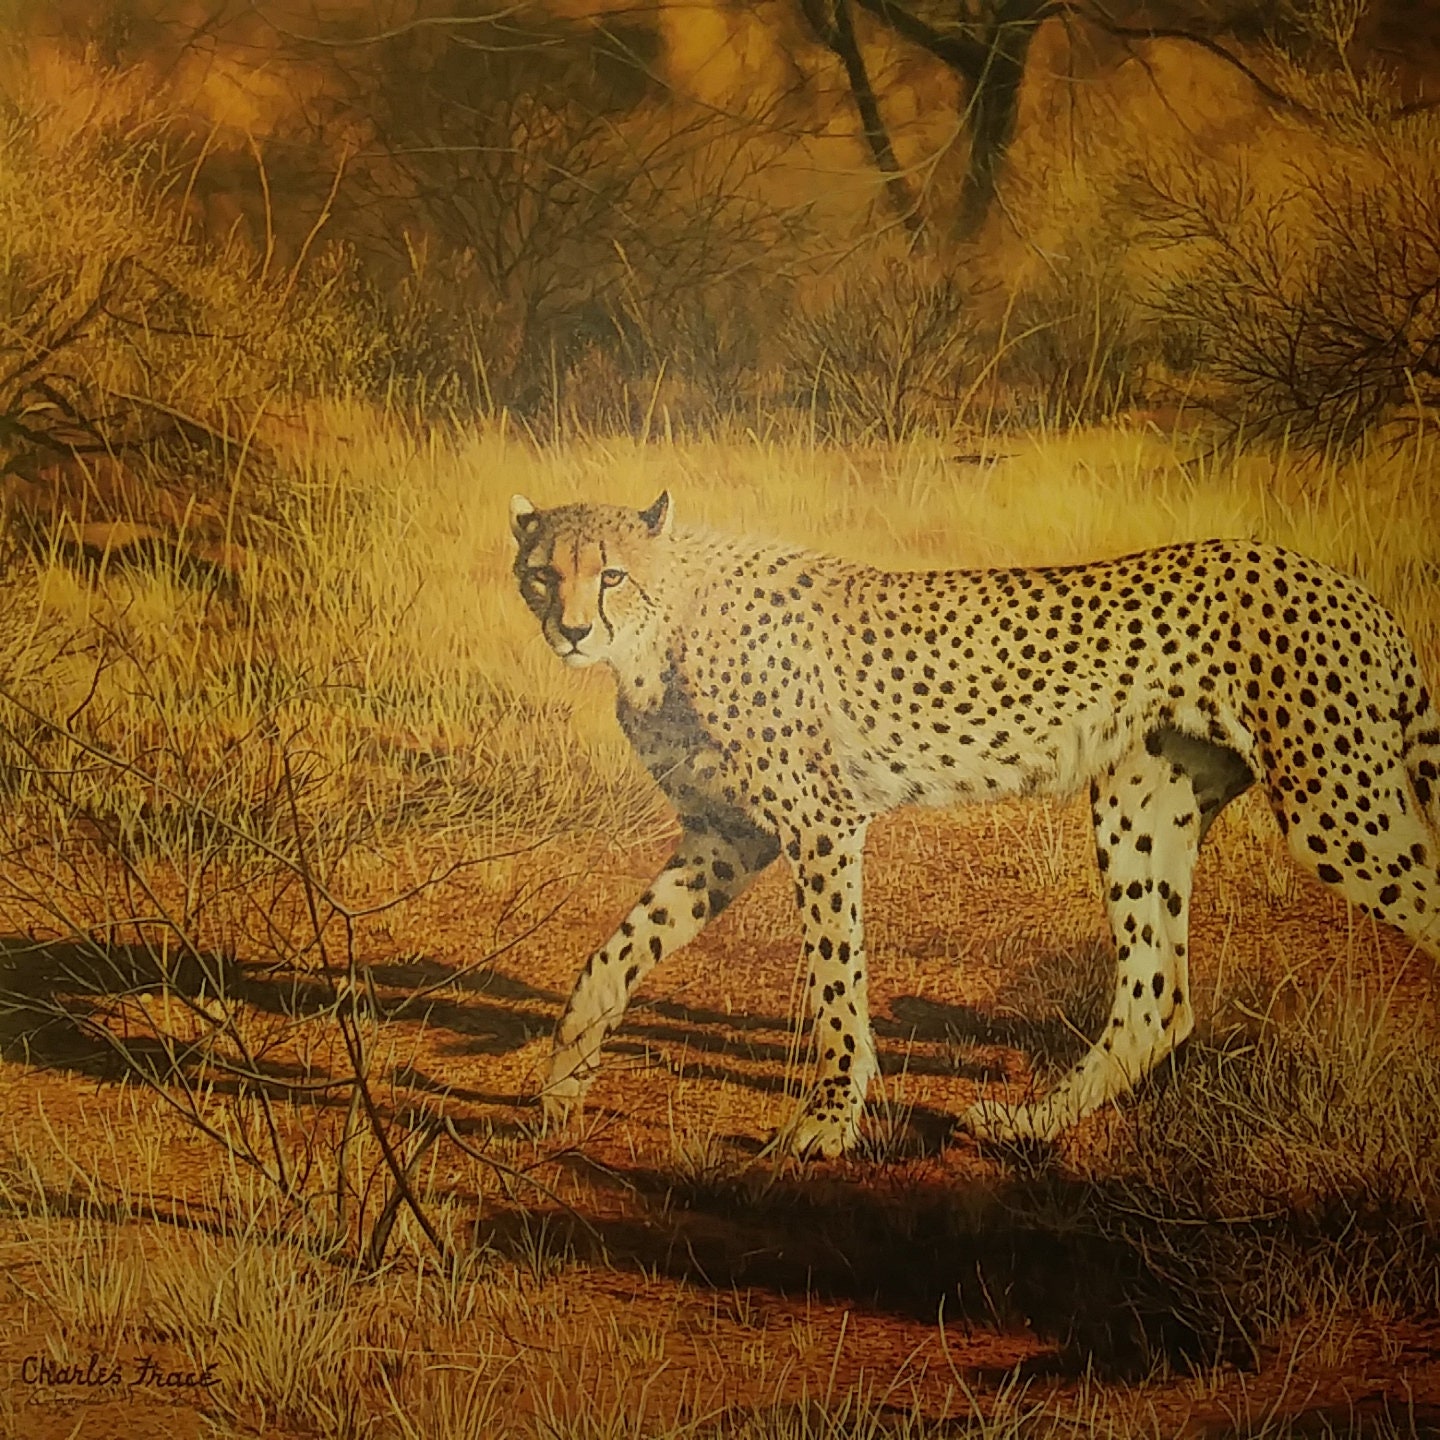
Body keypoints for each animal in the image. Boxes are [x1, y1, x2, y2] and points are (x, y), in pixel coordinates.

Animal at [509, 489, 1440, 1158]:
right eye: (542, 574)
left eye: (612, 575)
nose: (572, 630)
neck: (661, 630)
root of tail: (1341, 582)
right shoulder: (729, 835)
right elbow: (617, 951)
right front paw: (564, 1080)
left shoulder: (821, 824)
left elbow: (836, 980)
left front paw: (829, 1122)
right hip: (1141, 805)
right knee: (1157, 997)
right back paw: (1028, 1127)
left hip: (1336, 810)